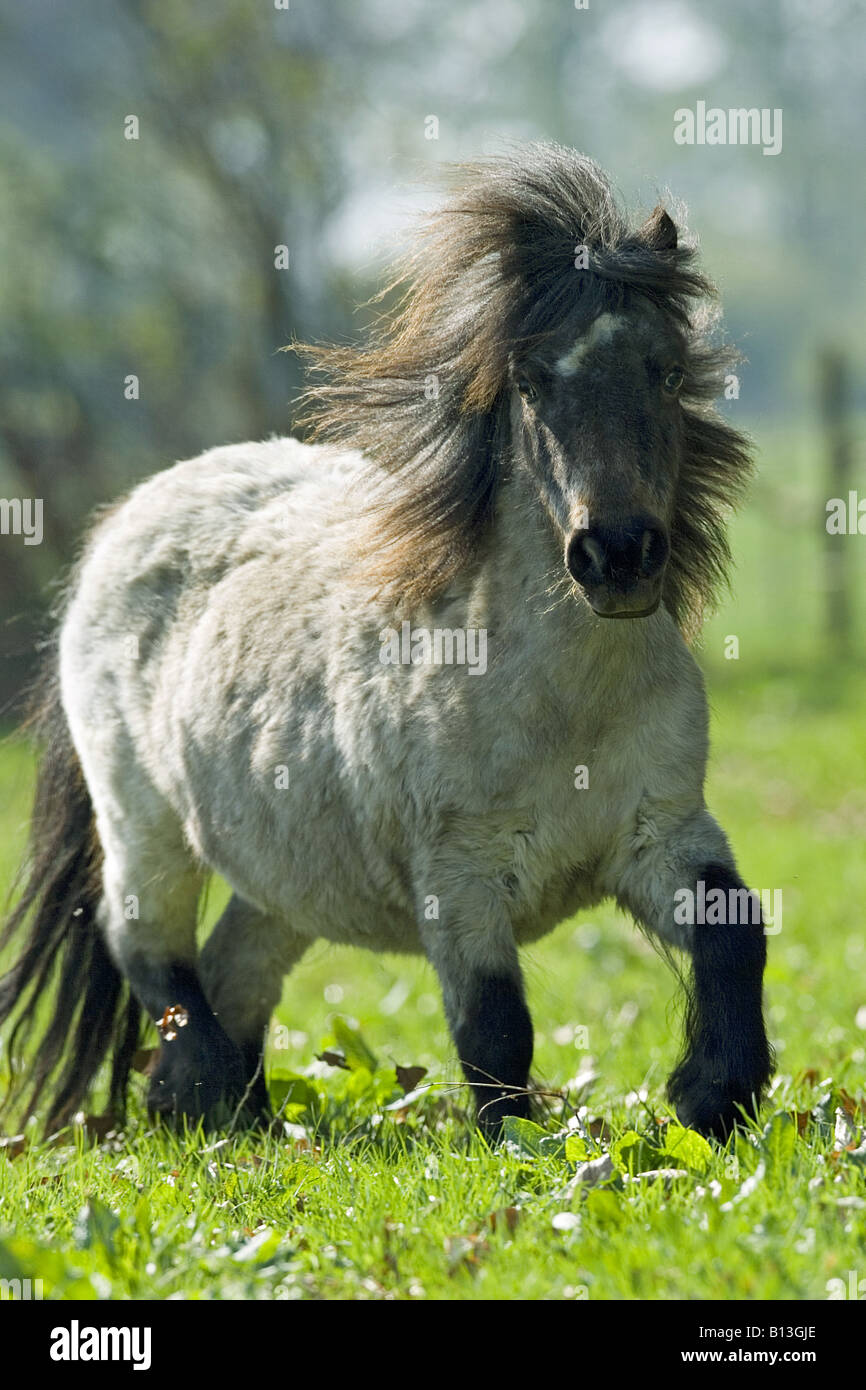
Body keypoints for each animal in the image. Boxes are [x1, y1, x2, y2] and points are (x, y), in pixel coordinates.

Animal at [0, 143, 773, 1140]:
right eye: (532, 384)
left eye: (669, 372)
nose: (619, 556)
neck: (561, 705)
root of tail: (125, 519)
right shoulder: (461, 880)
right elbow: (494, 1028)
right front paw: (516, 1147)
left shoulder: (660, 834)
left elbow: (736, 933)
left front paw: (712, 1099)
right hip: (145, 829)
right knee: (151, 957)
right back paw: (208, 1101)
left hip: (285, 876)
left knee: (233, 973)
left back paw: (236, 1121)